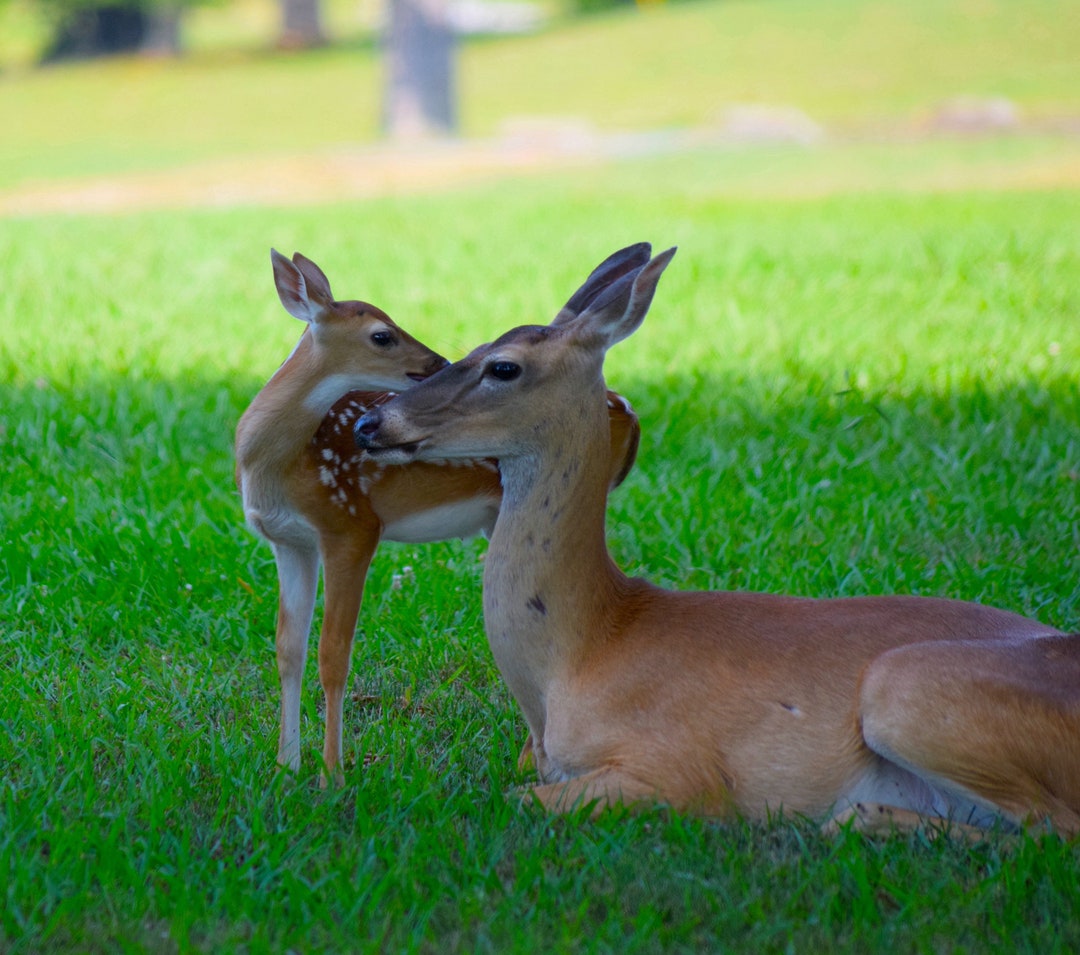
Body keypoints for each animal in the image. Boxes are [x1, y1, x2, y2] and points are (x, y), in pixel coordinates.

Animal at [235, 248, 643, 783]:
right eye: (382, 335)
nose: (438, 362)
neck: (279, 466)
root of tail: (629, 409)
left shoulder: (352, 524)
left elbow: (333, 654)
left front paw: (332, 777)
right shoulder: (289, 541)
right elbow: (288, 649)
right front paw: (286, 768)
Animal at [354, 242, 1080, 836]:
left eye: (503, 367)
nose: (370, 422)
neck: (582, 650)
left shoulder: (676, 768)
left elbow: (515, 799)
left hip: (904, 688)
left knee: (1051, 826)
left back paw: (859, 817)